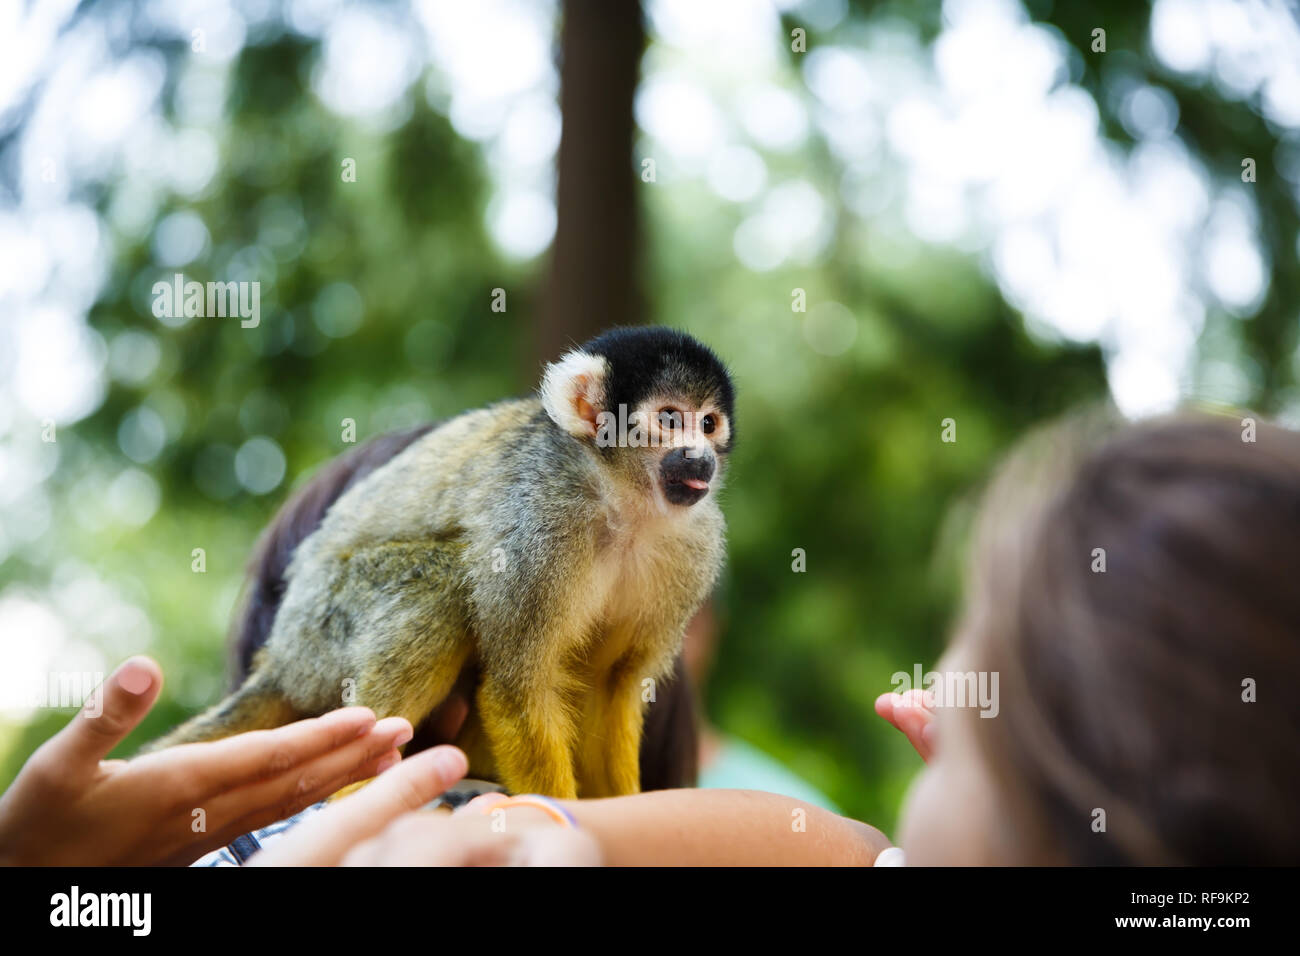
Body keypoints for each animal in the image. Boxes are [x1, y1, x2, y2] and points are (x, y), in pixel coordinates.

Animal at [149, 326, 734, 800]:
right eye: (669, 419)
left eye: (708, 424)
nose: (701, 458)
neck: (621, 503)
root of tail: (279, 657)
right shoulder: (537, 523)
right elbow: (517, 690)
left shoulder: (696, 547)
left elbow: (613, 685)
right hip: (322, 627)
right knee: (442, 587)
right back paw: (357, 787)